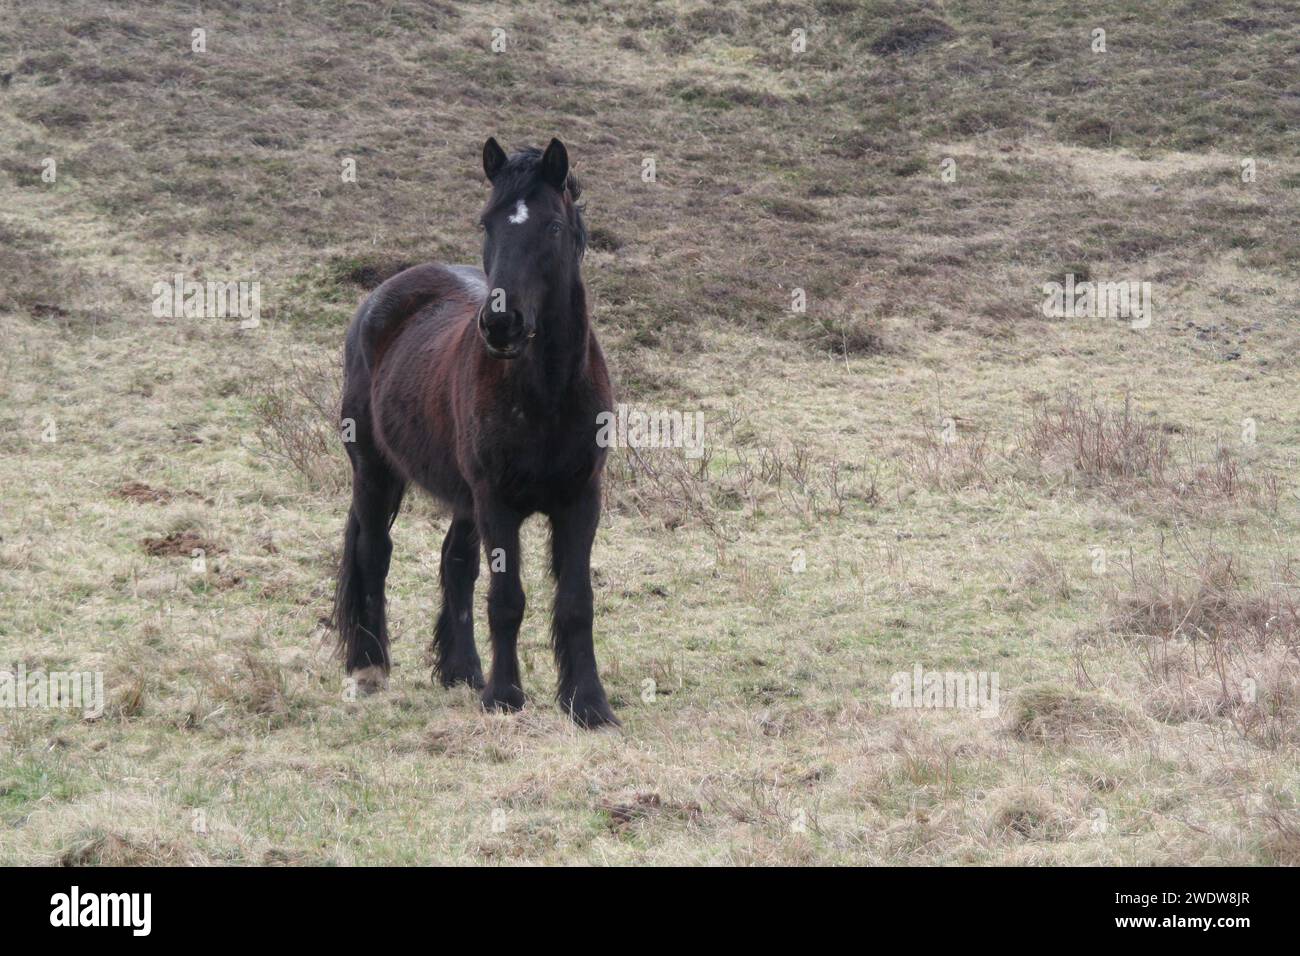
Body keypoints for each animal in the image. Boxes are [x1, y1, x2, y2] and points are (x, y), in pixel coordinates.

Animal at [330, 137, 618, 728]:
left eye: (553, 227)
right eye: (488, 223)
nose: (501, 324)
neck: (547, 392)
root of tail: (381, 299)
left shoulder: (582, 499)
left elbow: (576, 603)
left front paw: (588, 703)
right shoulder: (496, 501)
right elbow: (507, 599)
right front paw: (505, 697)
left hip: (461, 496)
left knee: (455, 562)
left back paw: (462, 670)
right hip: (375, 472)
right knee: (374, 551)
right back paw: (368, 669)